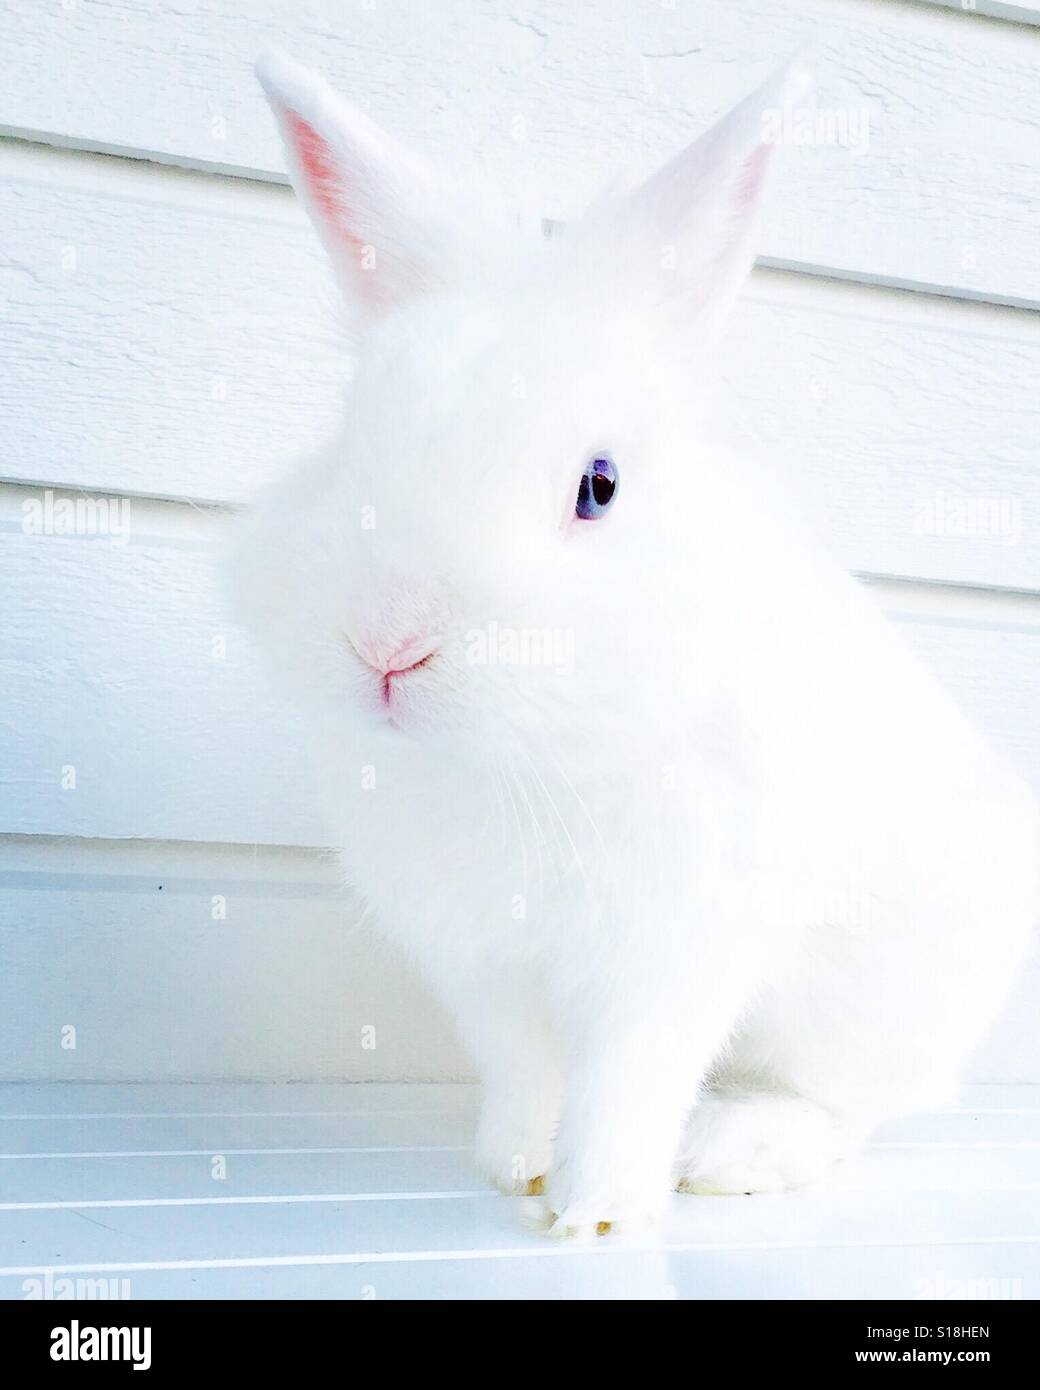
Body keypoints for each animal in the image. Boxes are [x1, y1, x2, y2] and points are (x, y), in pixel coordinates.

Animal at [230, 48, 1038, 1236]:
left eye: (598, 487)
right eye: (349, 439)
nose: (387, 645)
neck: (523, 755)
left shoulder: (674, 950)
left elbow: (628, 1080)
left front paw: (595, 1213)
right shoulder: (485, 964)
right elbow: (523, 1071)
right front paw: (512, 1168)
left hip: (873, 1002)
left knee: (853, 1104)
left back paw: (736, 1147)